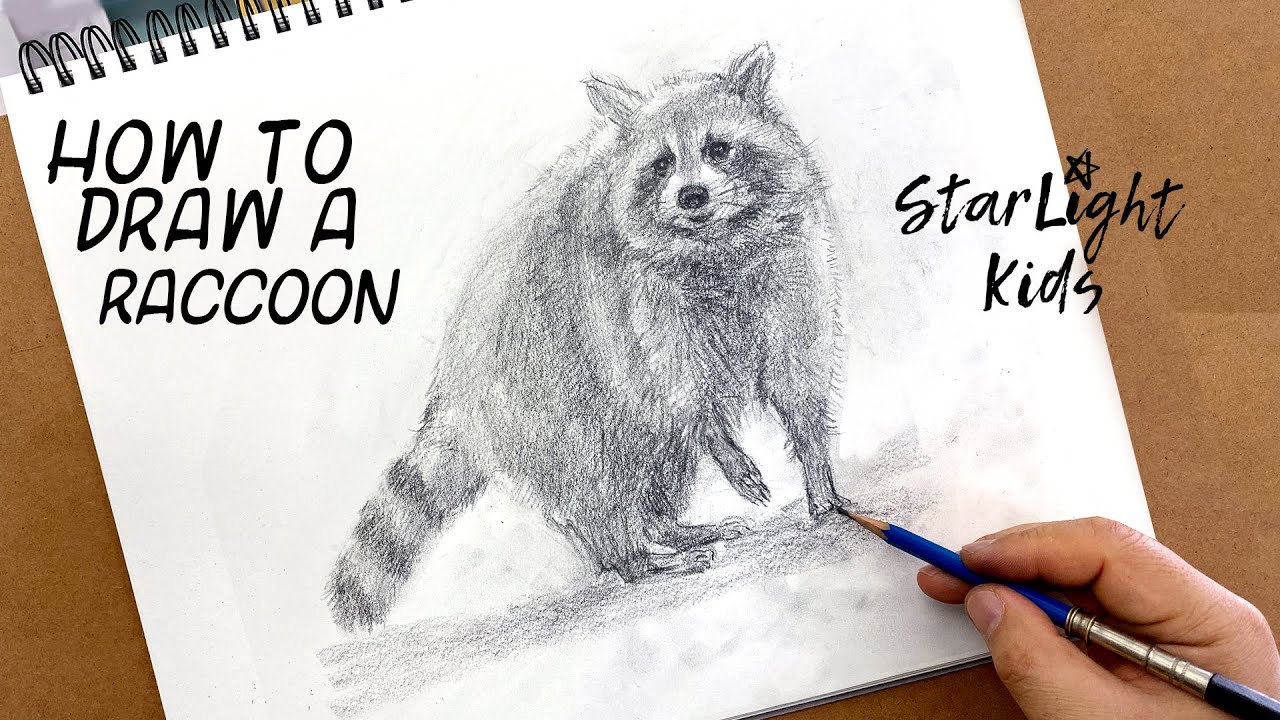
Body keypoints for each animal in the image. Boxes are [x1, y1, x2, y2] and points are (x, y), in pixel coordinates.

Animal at [327, 43, 848, 632]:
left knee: (657, 460)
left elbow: (796, 372)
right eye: (662, 163)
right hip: (546, 397)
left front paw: (816, 464)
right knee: (598, 476)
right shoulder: (633, 300)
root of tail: (459, 393)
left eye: (718, 148)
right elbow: (682, 391)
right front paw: (722, 442)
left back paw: (665, 527)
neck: (715, 243)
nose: (691, 196)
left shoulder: (786, 268)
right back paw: (634, 557)